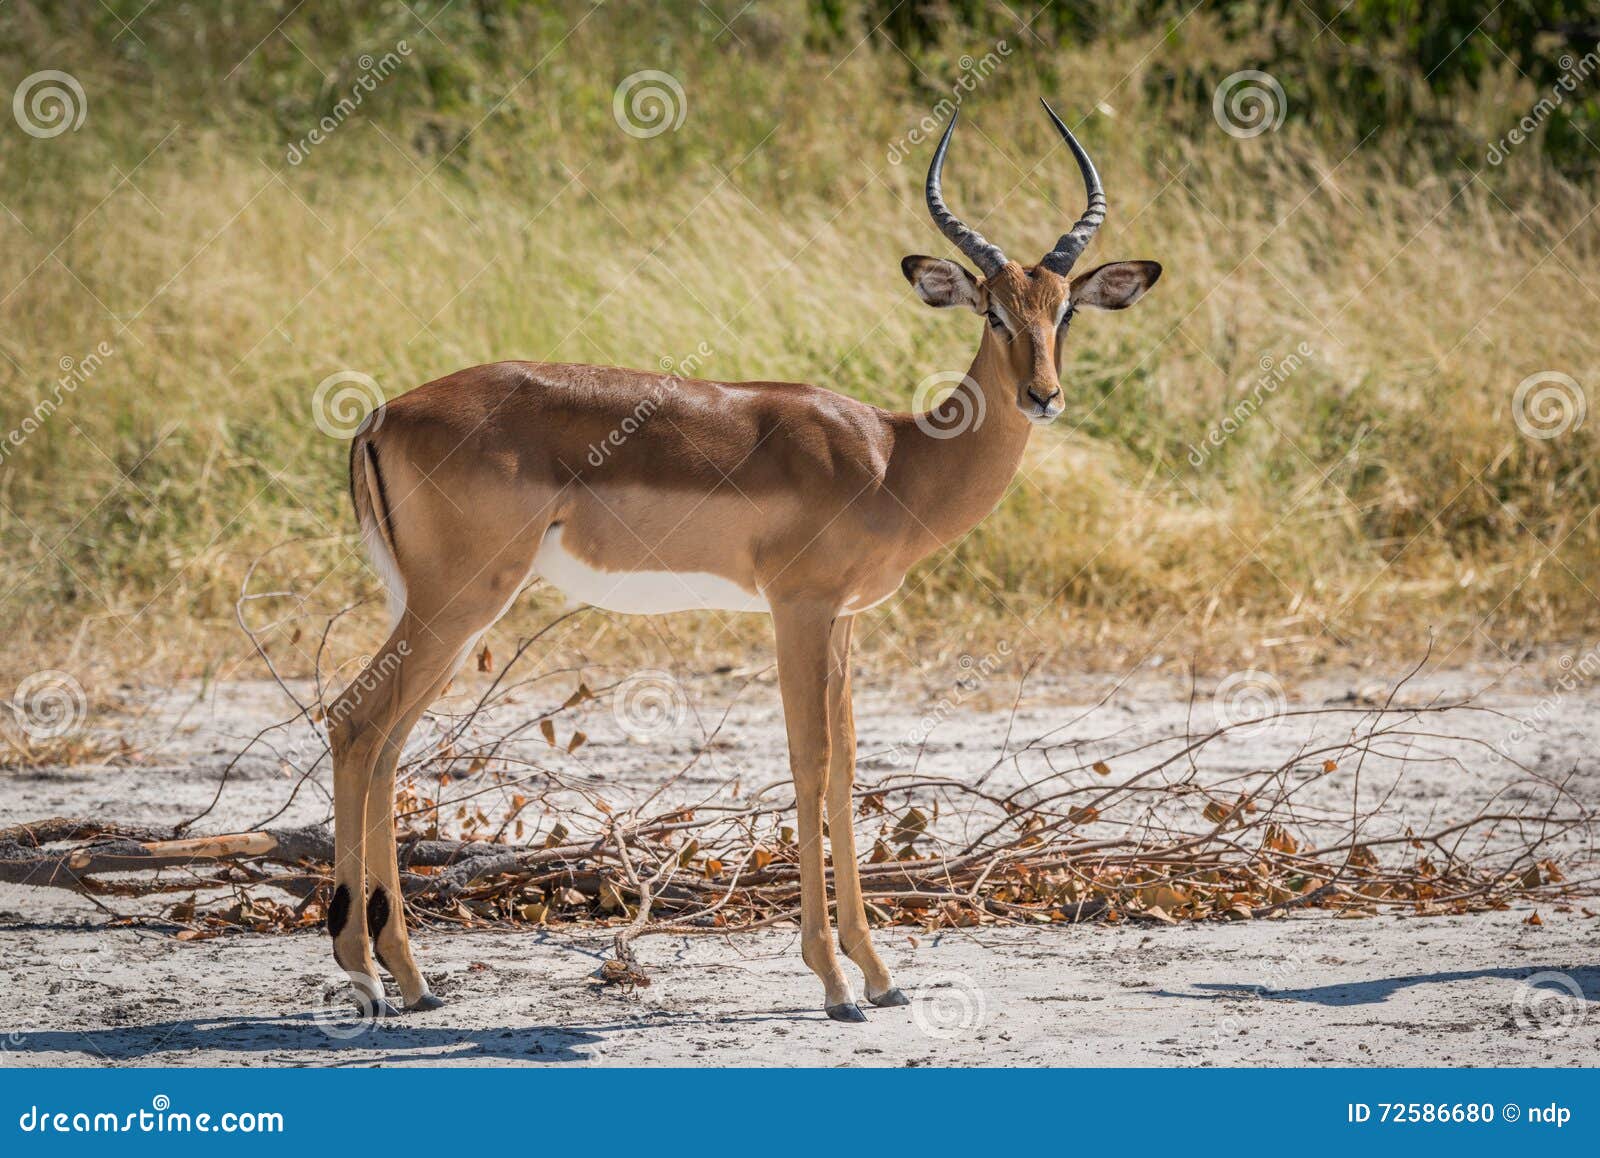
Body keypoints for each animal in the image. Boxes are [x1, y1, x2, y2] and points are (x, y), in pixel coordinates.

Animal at [325, 101, 1160, 1022]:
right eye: (993, 313)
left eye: (1064, 312)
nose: (1043, 396)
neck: (894, 457)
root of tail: (381, 416)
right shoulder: (797, 607)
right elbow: (810, 760)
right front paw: (834, 982)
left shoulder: (841, 622)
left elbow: (846, 764)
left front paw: (880, 975)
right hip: (461, 599)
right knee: (357, 721)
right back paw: (370, 975)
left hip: (443, 607)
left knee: (385, 741)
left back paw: (408, 979)